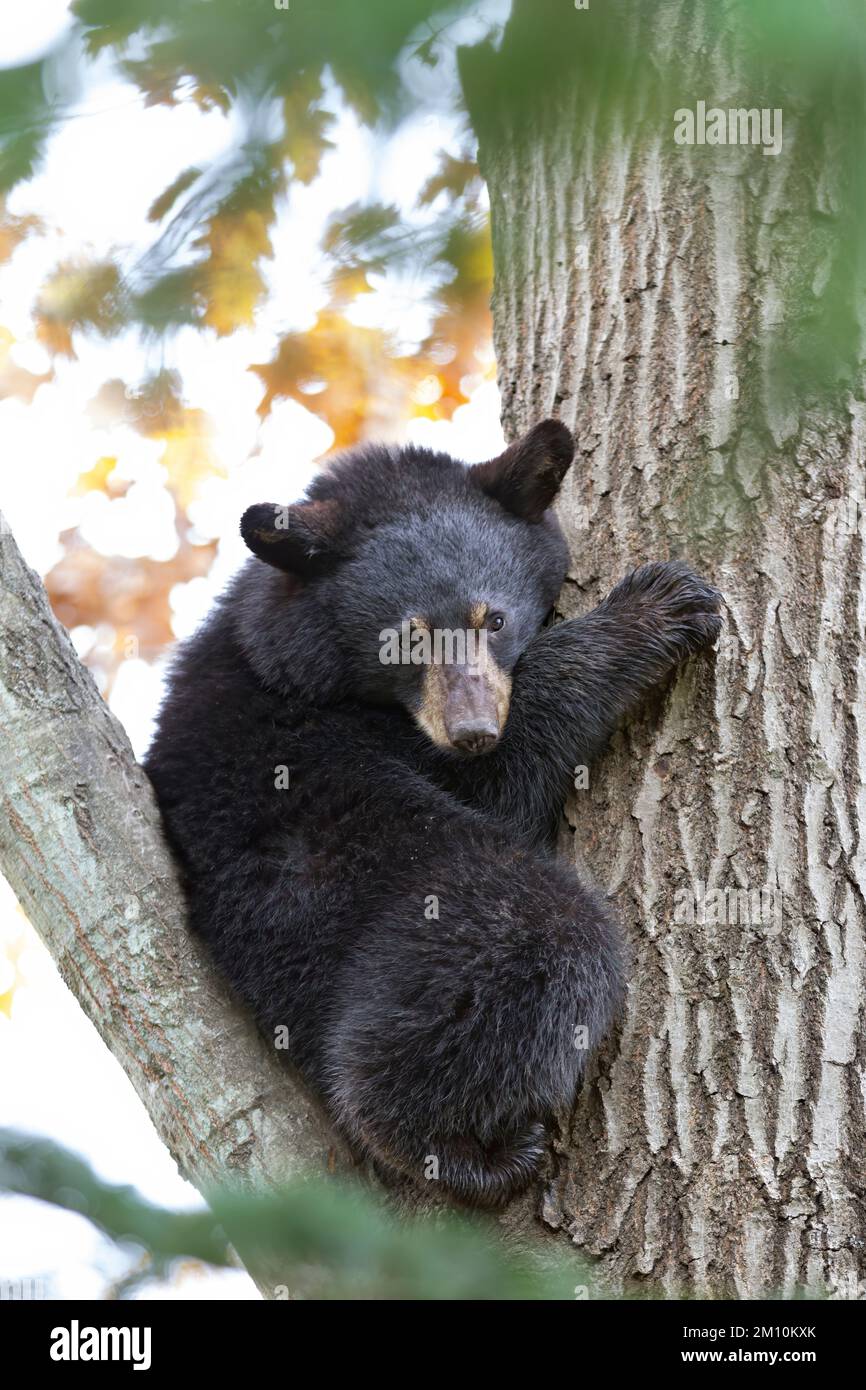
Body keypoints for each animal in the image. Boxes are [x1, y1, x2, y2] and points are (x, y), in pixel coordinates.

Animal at [144, 419, 721, 1207]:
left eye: (494, 618)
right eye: (407, 636)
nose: (472, 730)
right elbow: (513, 768)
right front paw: (658, 607)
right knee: (539, 938)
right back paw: (456, 1149)